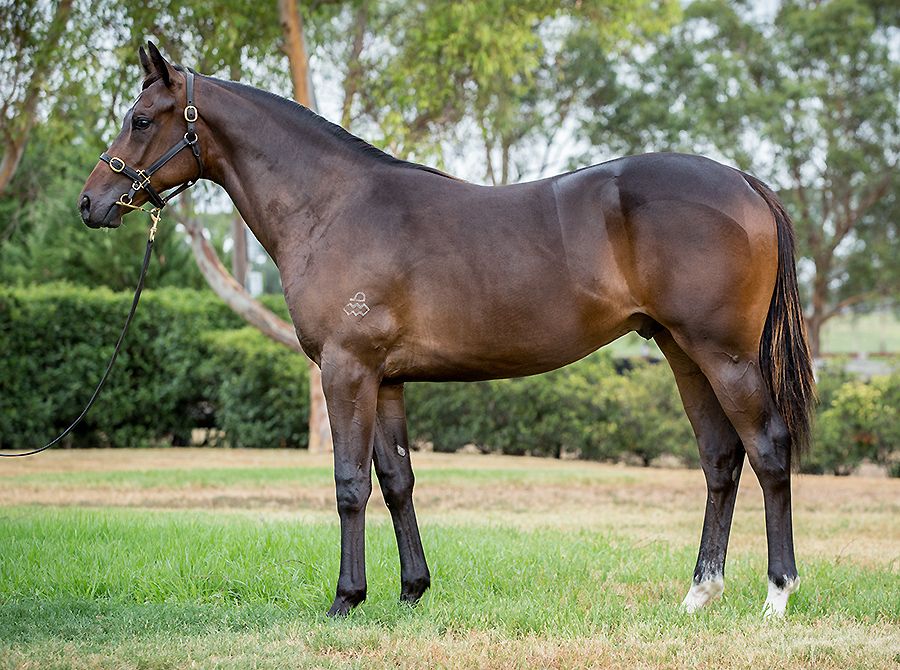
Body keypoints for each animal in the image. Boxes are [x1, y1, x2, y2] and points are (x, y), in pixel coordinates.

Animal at [79, 42, 815, 618]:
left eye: (140, 119)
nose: (90, 203)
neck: (332, 205)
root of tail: (744, 181)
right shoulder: (386, 380)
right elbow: (397, 479)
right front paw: (412, 590)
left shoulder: (346, 370)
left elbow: (350, 483)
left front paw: (346, 598)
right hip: (681, 352)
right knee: (720, 460)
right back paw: (700, 594)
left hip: (726, 356)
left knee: (768, 450)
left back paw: (778, 593)